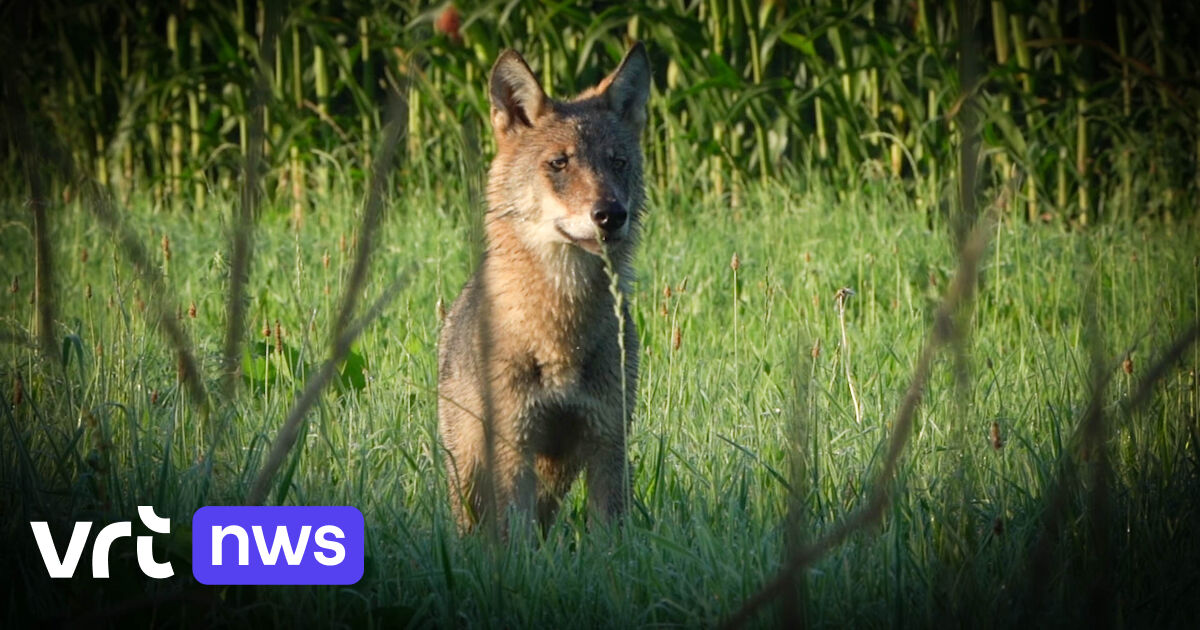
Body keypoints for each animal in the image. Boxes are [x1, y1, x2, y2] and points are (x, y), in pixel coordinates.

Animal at [437, 42, 651, 535]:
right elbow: (515, 535)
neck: (560, 337)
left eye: (618, 162)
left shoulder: (607, 440)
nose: (611, 214)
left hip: (557, 469)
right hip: (473, 470)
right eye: (560, 163)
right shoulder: (514, 444)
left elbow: (610, 536)